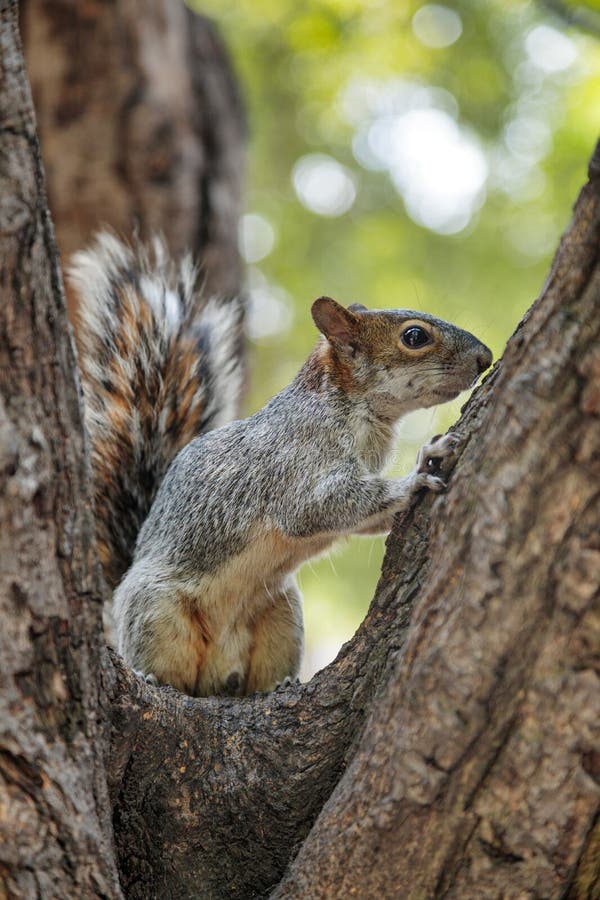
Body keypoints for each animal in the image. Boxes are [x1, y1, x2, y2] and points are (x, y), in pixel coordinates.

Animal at [72, 232, 492, 697]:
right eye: (415, 336)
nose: (485, 357)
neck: (353, 410)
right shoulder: (292, 466)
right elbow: (319, 508)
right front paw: (417, 472)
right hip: (156, 610)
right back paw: (152, 676)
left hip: (281, 613)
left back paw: (278, 685)